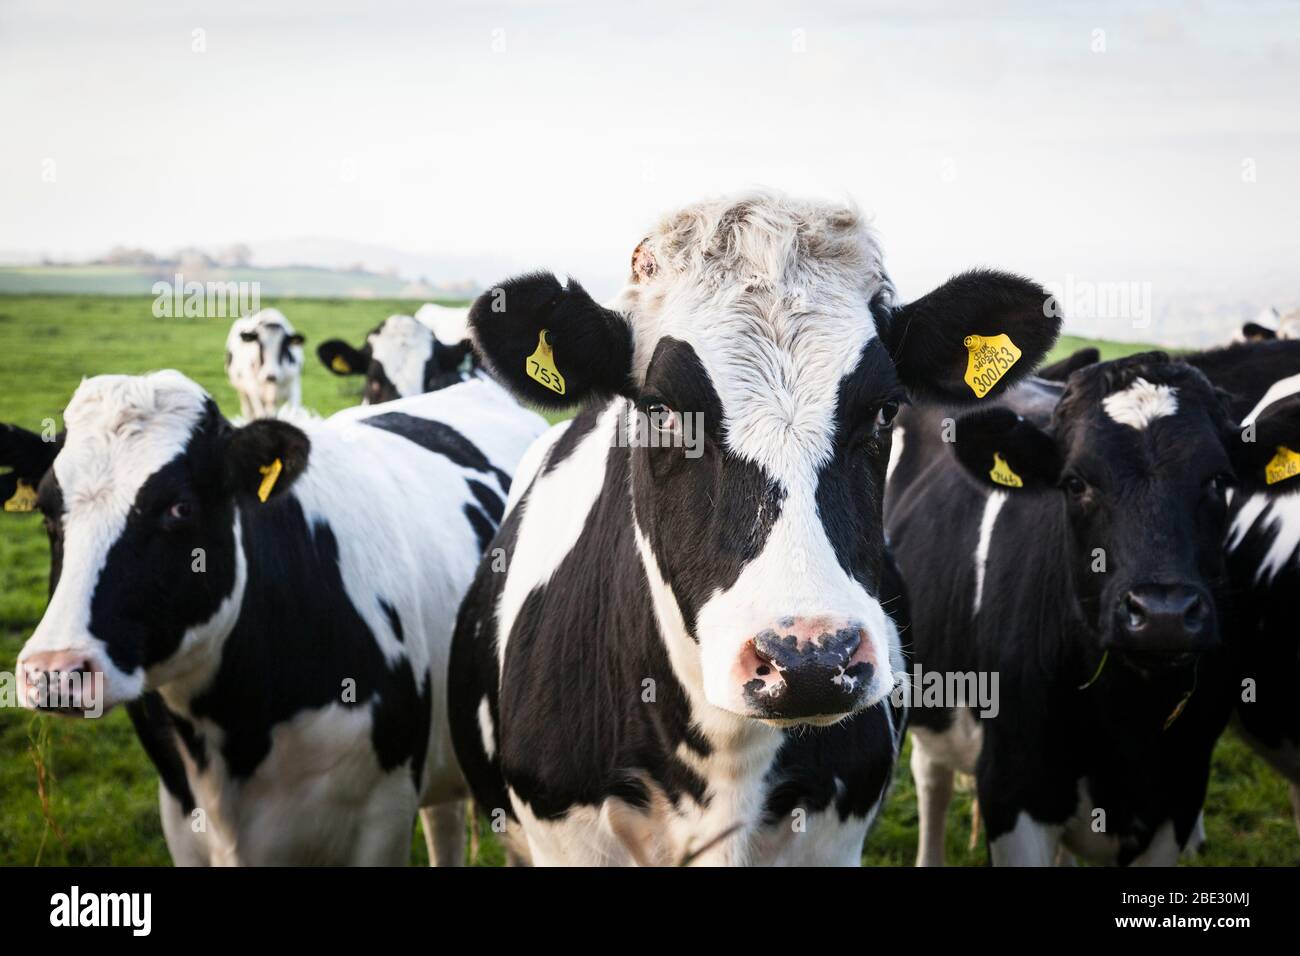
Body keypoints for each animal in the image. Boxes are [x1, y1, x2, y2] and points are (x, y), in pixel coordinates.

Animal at [887, 350, 1300, 866]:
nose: (1163, 615)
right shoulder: (1013, 789)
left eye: (1220, 480)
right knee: (931, 776)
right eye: (1074, 483)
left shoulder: (1181, 794)